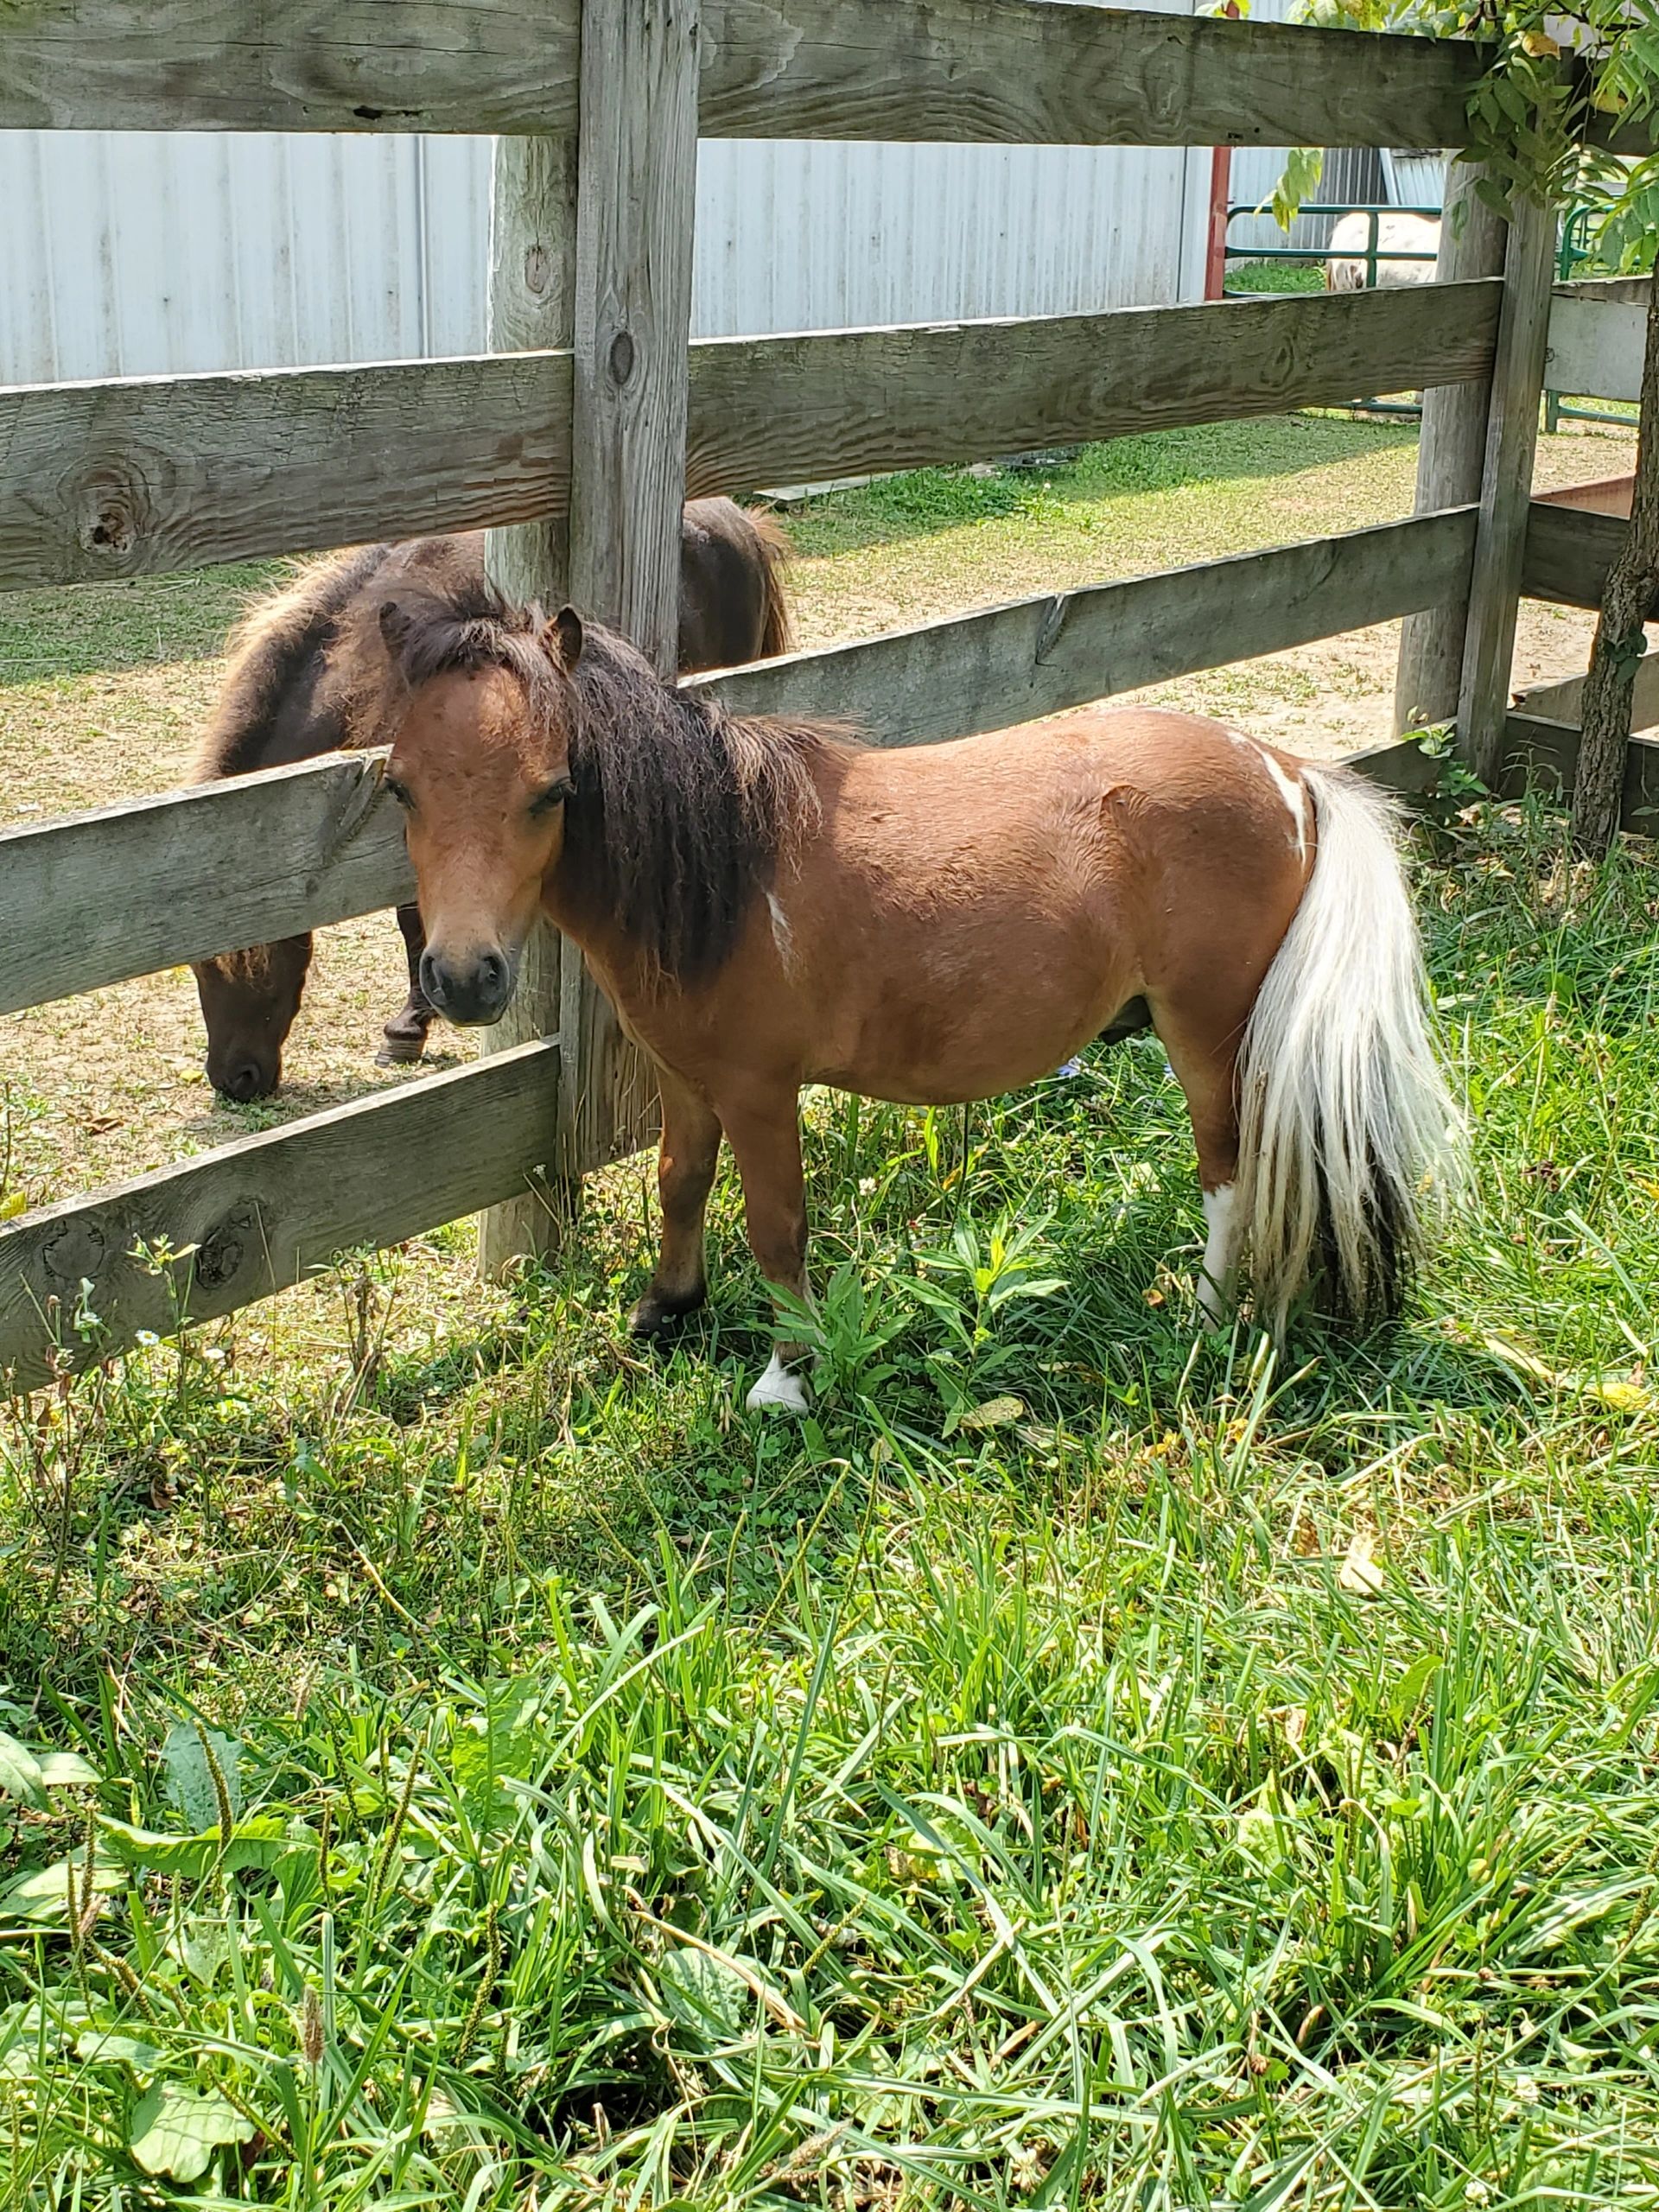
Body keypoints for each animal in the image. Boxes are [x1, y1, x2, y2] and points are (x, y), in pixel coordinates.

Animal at [188, 499, 792, 1101]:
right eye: (195, 966)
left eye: (249, 962)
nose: (235, 1078)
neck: (361, 666)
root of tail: (740, 519)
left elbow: (414, 920)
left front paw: (408, 1027)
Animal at [373, 581, 1461, 1411]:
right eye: (398, 788)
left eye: (551, 791)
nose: (462, 977)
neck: (726, 864)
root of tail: (1288, 771)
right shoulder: (687, 1079)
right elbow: (681, 1184)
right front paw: (667, 1309)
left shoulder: (760, 1093)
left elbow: (778, 1226)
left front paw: (789, 1373)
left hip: (1207, 1036)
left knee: (1228, 1169)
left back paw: (1202, 1313)